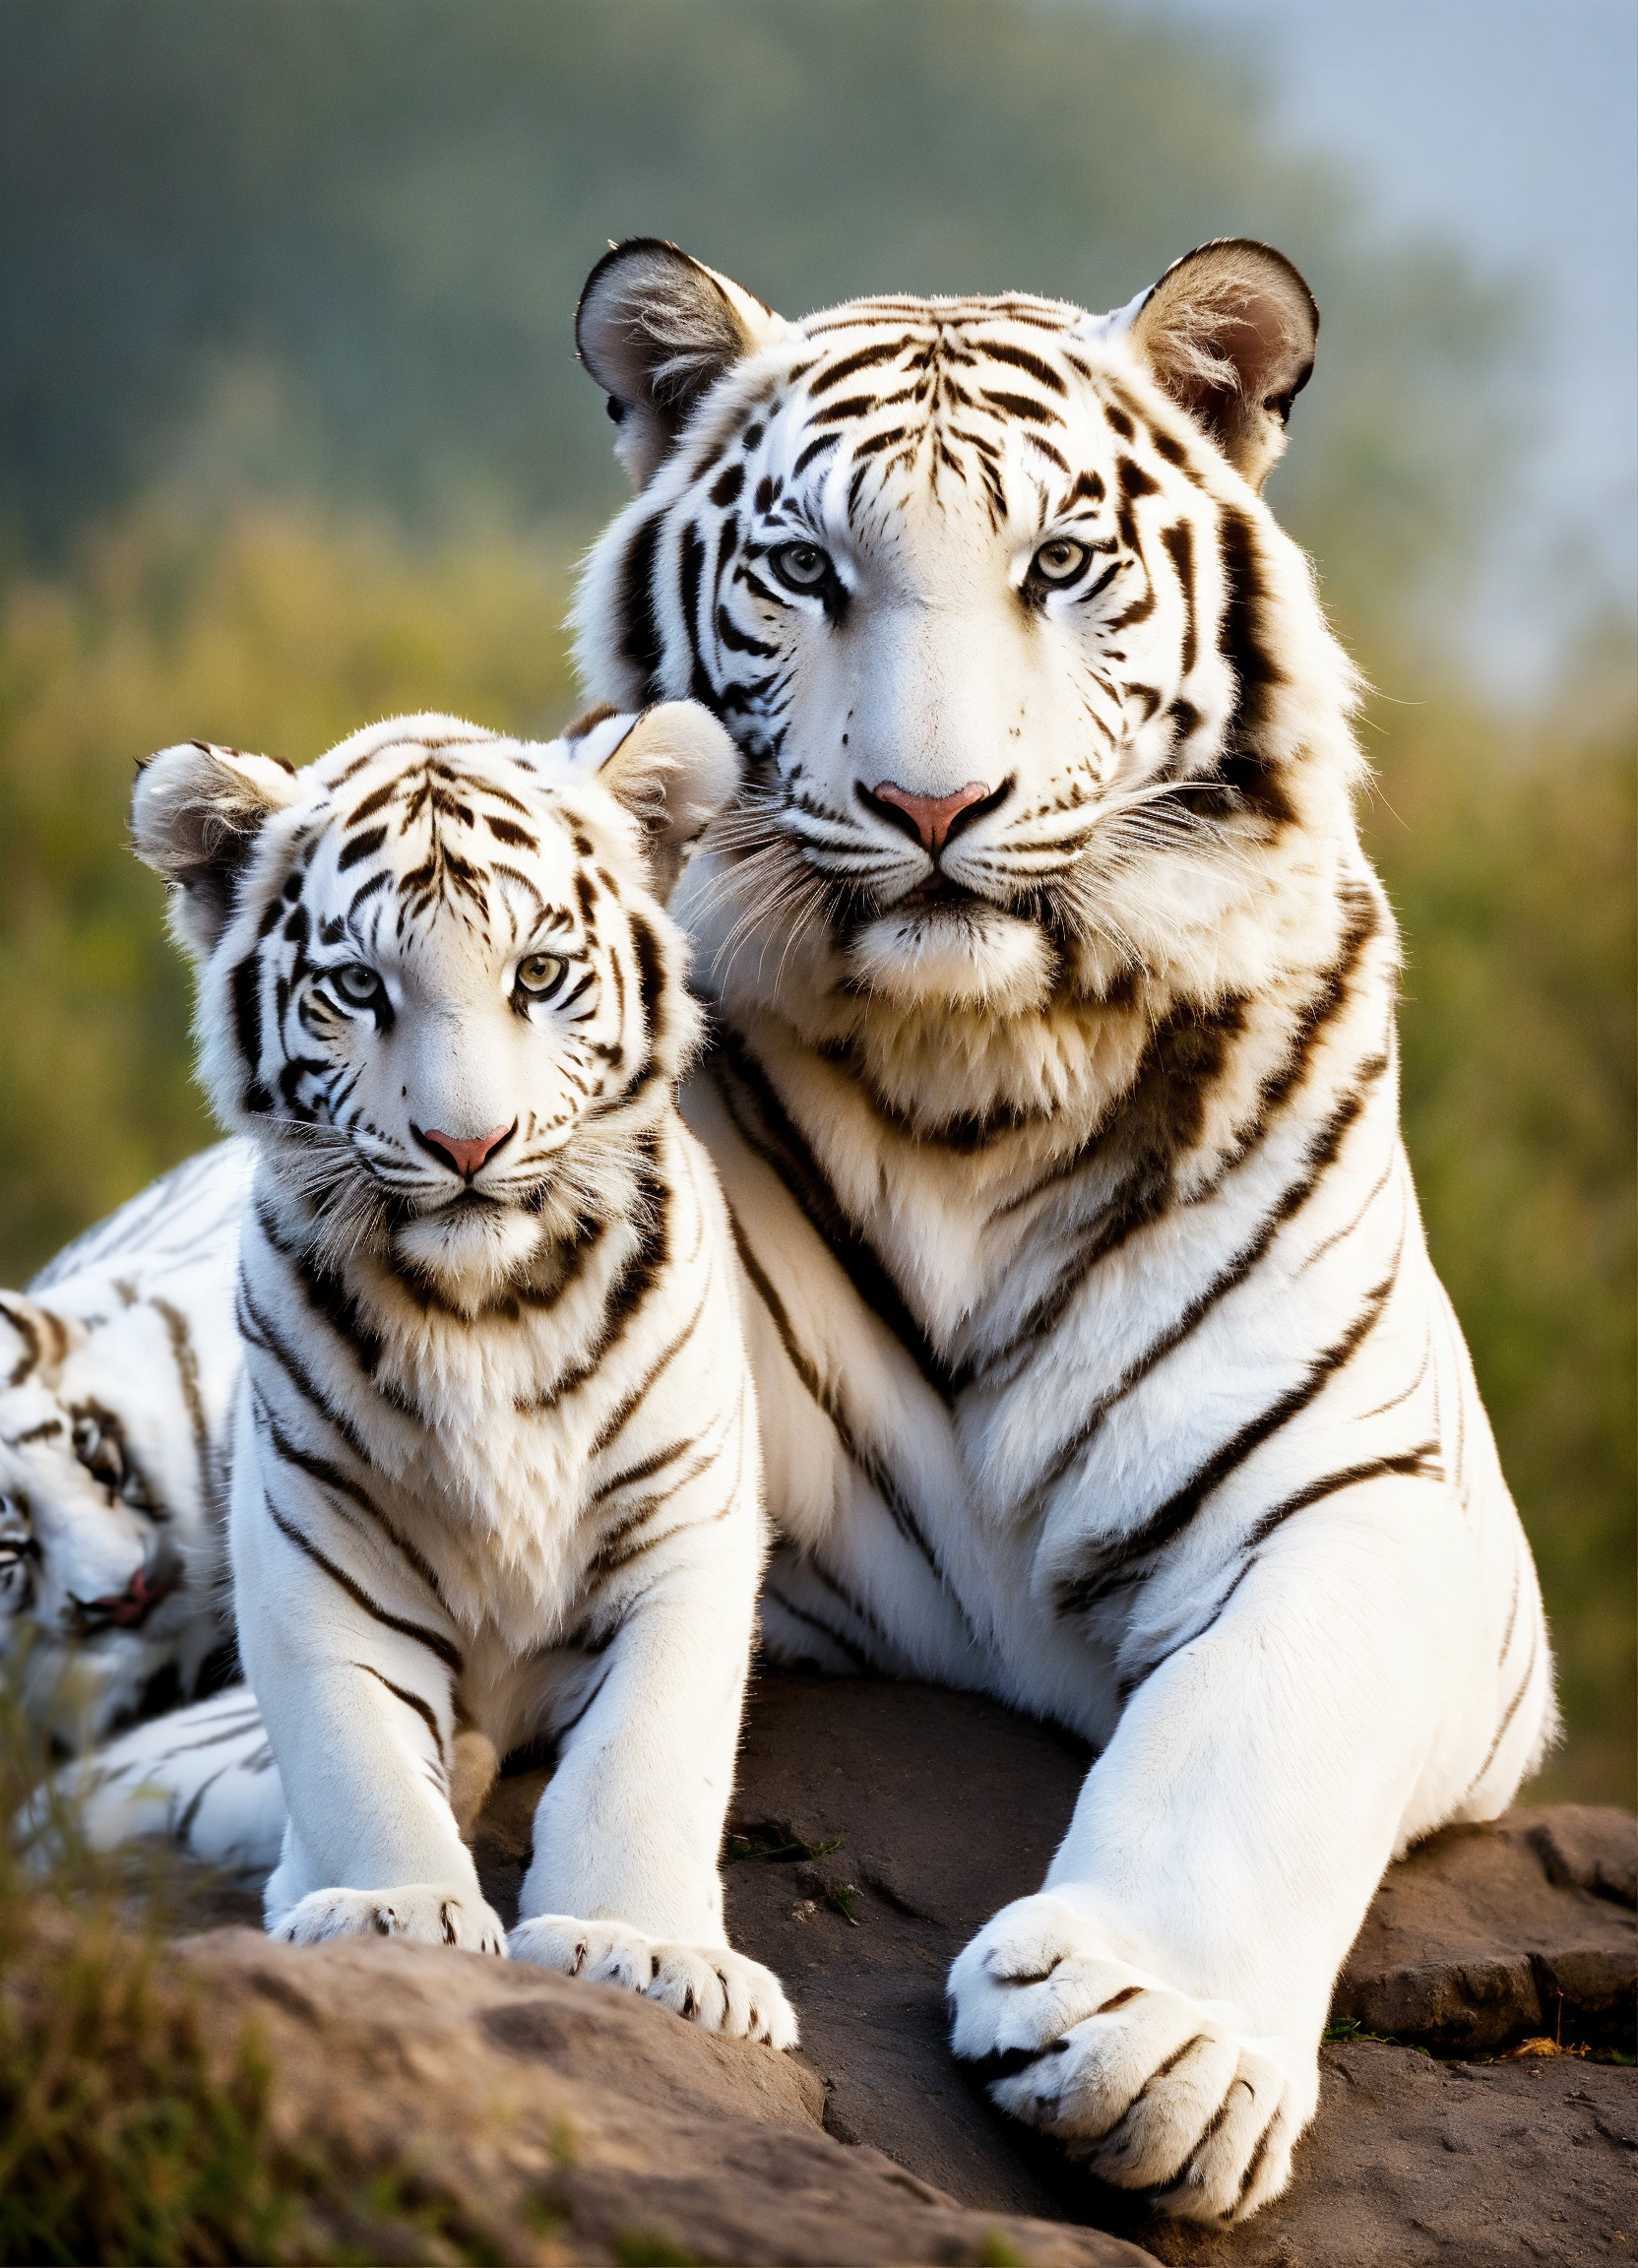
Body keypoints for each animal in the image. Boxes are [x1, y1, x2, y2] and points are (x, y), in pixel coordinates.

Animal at [108, 700, 794, 2045]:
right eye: (357, 988)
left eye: (535, 974)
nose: (466, 1146)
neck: (486, 1308)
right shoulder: (317, 1540)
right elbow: (357, 1750)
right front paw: (391, 1913)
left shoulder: (685, 1527)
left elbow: (644, 1760)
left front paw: (641, 1950)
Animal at [564, 235, 1556, 2218]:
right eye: (807, 569)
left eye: (1059, 563)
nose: (931, 806)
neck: (976, 1076)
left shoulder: (1390, 1496)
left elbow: (1269, 1705)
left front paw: (1146, 2046)